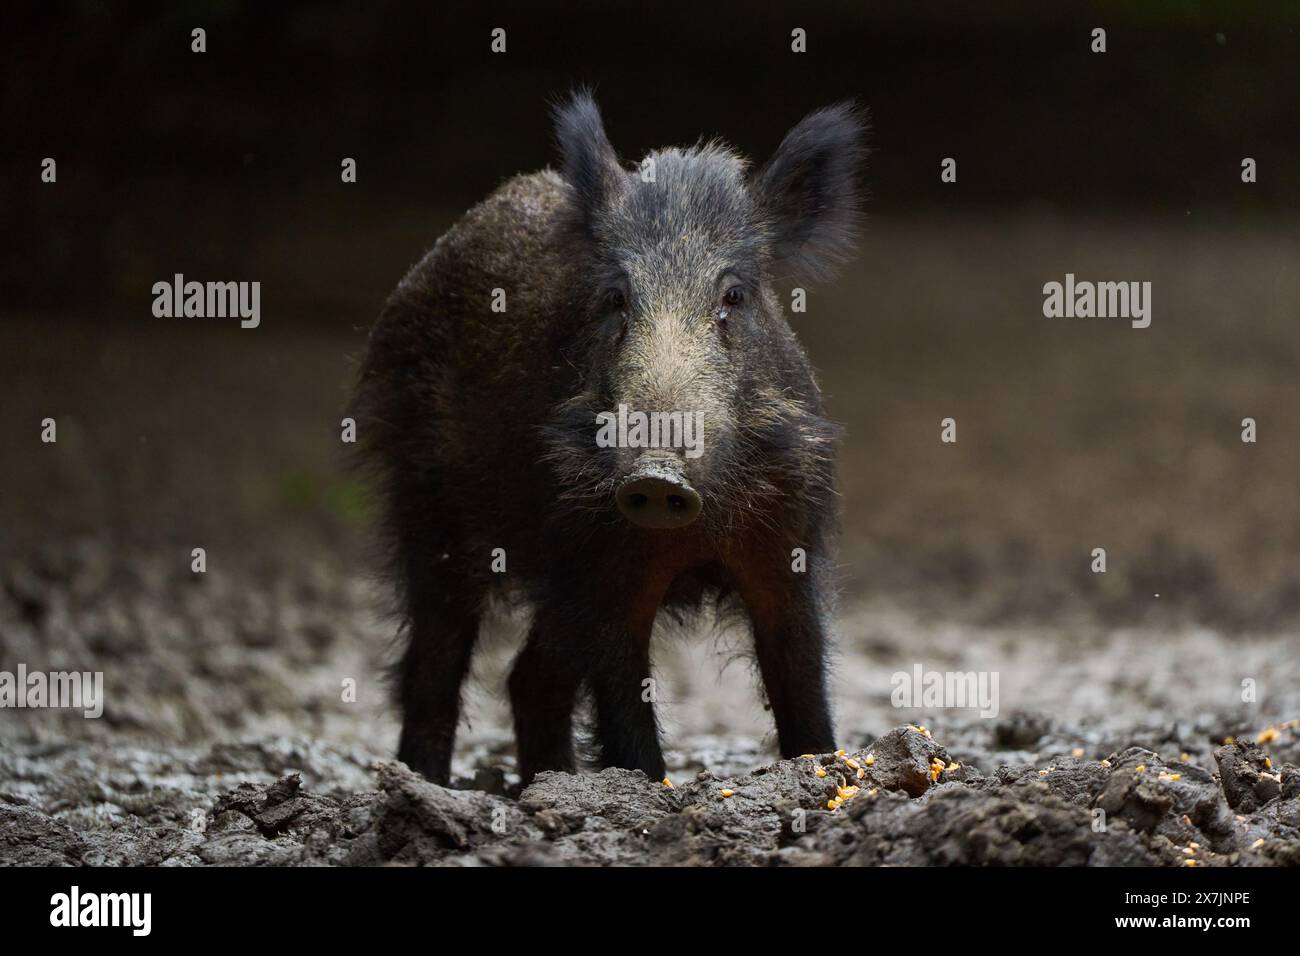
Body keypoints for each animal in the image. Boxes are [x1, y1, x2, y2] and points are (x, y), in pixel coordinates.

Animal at [350, 92, 864, 786]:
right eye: (617, 298)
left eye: (733, 294)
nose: (656, 475)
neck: (695, 536)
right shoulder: (598, 560)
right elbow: (624, 705)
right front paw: (644, 788)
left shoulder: (788, 543)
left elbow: (802, 680)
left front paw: (823, 768)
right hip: (425, 494)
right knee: (436, 655)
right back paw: (424, 781)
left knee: (528, 677)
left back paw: (547, 783)